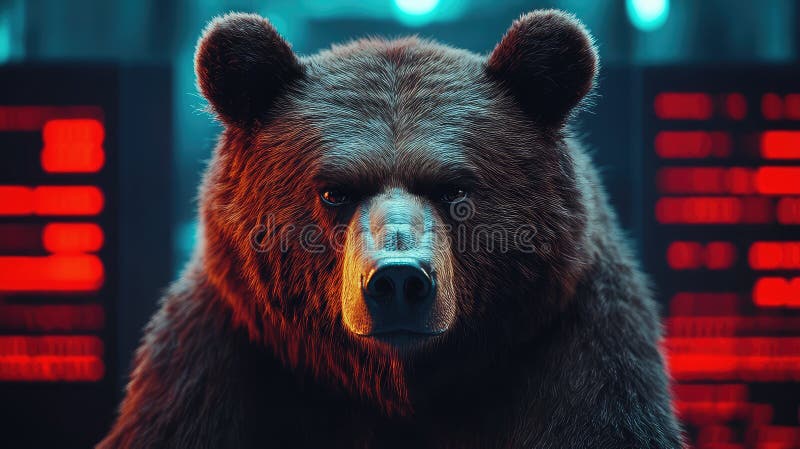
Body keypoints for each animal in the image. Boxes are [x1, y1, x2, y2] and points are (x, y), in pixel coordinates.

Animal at [98, 9, 682, 449]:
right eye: (334, 191)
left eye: (454, 189)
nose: (399, 280)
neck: (397, 386)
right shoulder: (218, 366)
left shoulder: (579, 359)